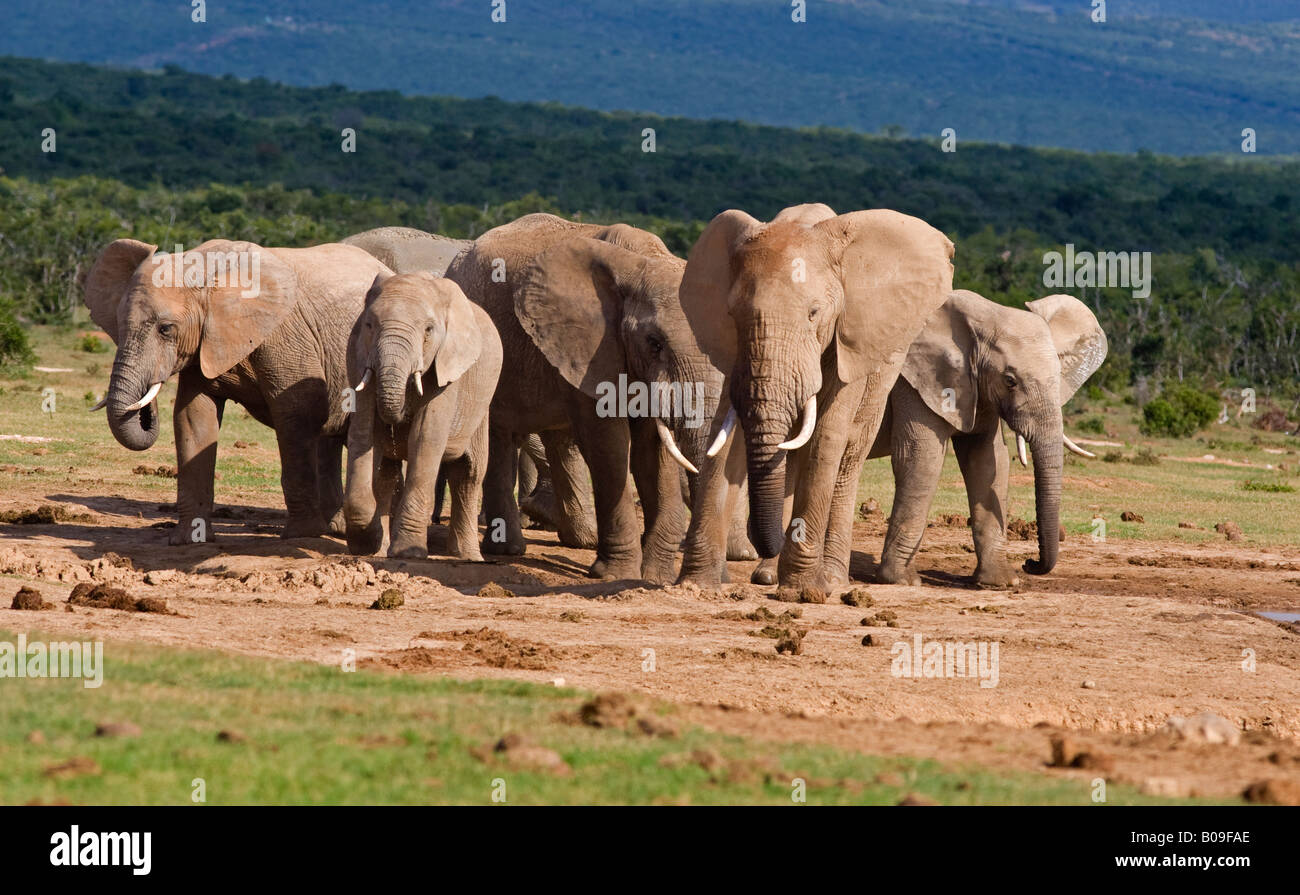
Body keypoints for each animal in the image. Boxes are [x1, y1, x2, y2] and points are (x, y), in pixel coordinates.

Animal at [83, 238, 390, 543]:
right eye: (118, 323)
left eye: (166, 329)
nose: (146, 406)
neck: (204, 268)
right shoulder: (204, 344)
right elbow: (193, 419)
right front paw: (190, 539)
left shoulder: (286, 336)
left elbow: (299, 413)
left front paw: (302, 535)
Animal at [343, 270, 502, 560]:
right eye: (369, 325)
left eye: (428, 330)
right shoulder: (358, 357)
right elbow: (363, 433)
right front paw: (368, 543)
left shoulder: (448, 369)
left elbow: (425, 438)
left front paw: (408, 553)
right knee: (387, 472)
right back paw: (381, 548)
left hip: (481, 407)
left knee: (469, 474)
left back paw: (468, 557)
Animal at [446, 213, 720, 582]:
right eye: (654, 342)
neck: (646, 262)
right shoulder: (591, 346)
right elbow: (609, 445)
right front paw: (614, 576)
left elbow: (652, 450)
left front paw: (654, 578)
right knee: (500, 435)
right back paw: (508, 551)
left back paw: (577, 541)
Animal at [676, 204, 955, 590]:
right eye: (733, 314)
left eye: (814, 313)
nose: (769, 541)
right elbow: (725, 434)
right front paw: (696, 585)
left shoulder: (848, 342)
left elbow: (827, 435)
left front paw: (802, 589)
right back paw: (769, 574)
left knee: (848, 455)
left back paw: (832, 579)